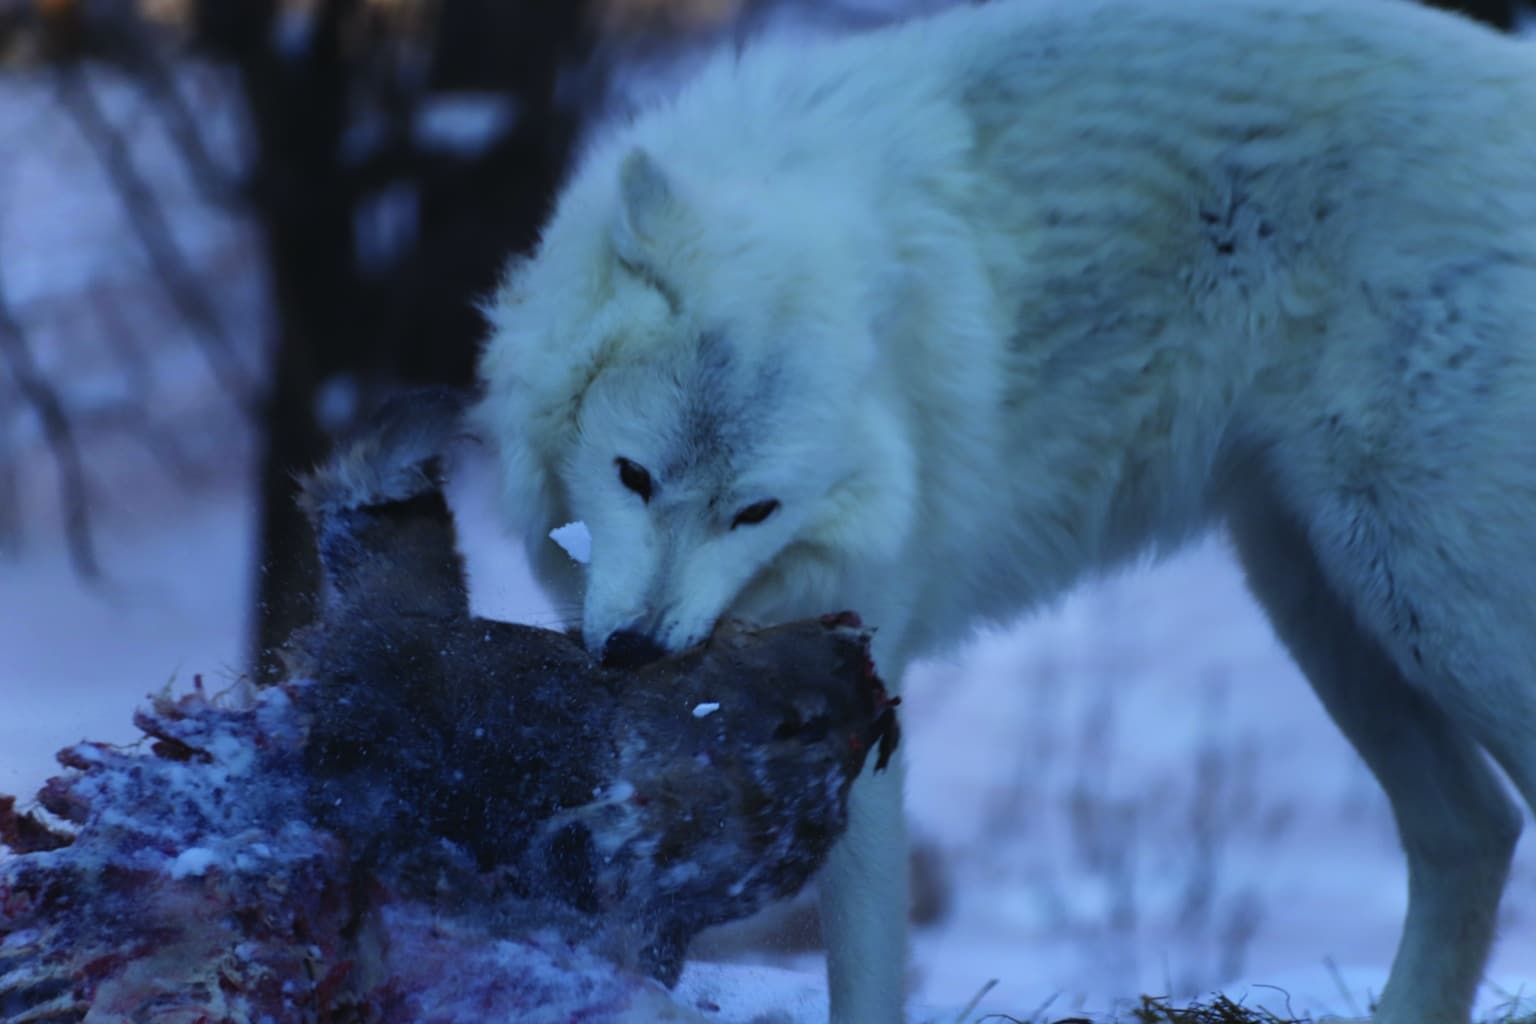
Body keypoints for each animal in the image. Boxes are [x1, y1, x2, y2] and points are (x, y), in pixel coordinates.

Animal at [476, 0, 1536, 1020]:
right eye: (633, 476)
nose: (637, 653)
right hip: (1319, 599)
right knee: (1474, 829)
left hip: (1429, 608)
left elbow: (865, 974)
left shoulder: (861, 701)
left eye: (754, 512)